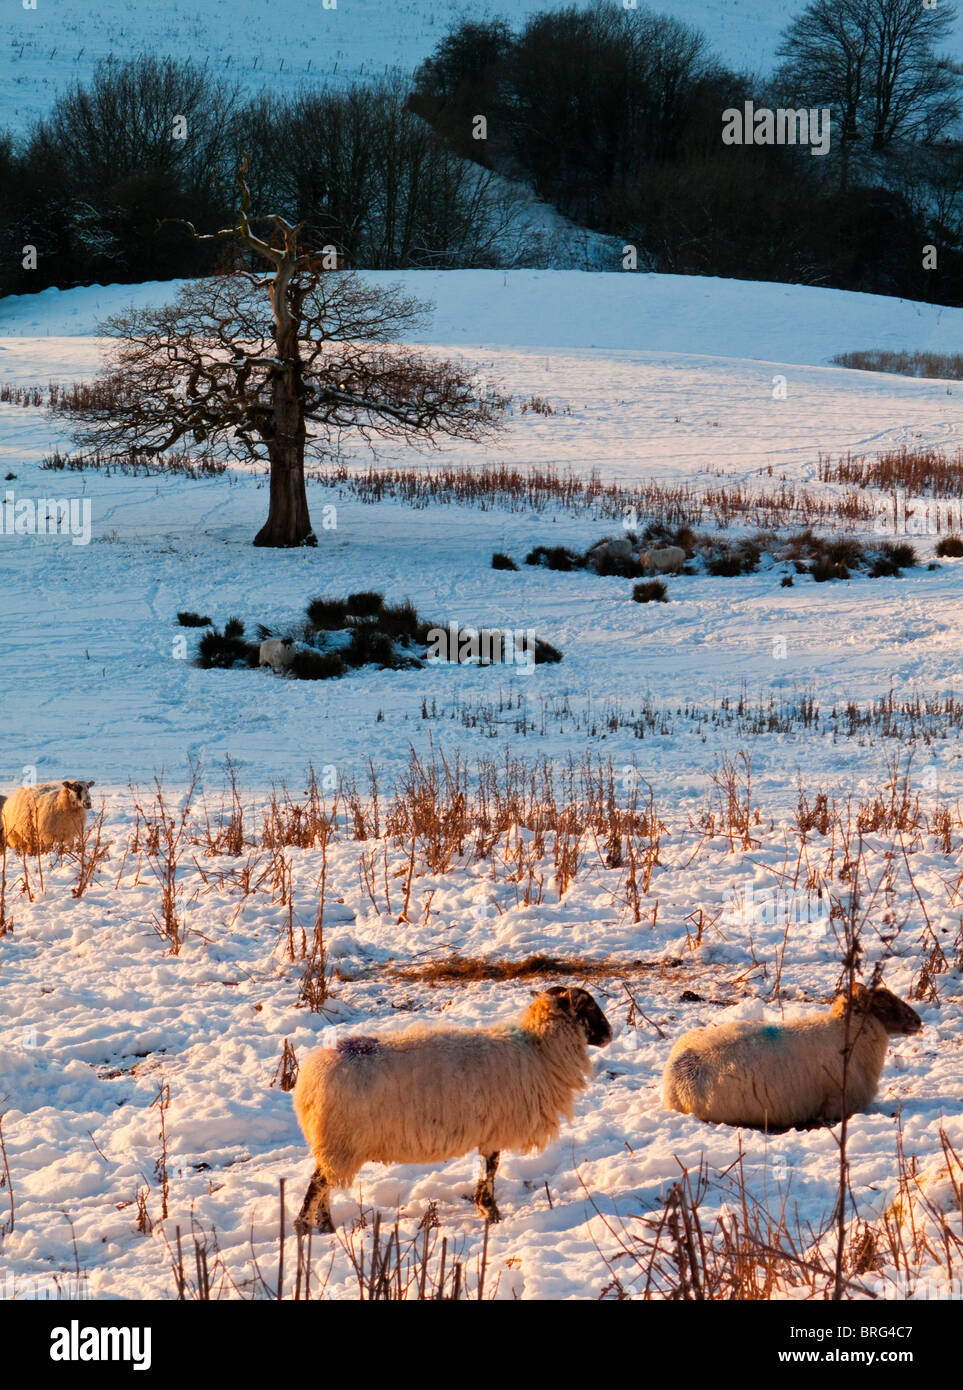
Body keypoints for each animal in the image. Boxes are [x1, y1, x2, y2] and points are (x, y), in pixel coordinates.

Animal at [292, 985, 612, 1233]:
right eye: (587, 1005)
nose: (609, 1034)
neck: (539, 1049)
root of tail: (310, 1080)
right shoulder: (495, 1129)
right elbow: (491, 1168)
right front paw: (491, 1212)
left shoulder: (489, 1129)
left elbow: (488, 1167)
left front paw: (486, 1208)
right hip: (341, 1141)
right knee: (317, 1185)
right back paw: (304, 1227)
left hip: (333, 1145)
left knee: (323, 1183)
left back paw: (326, 1226)